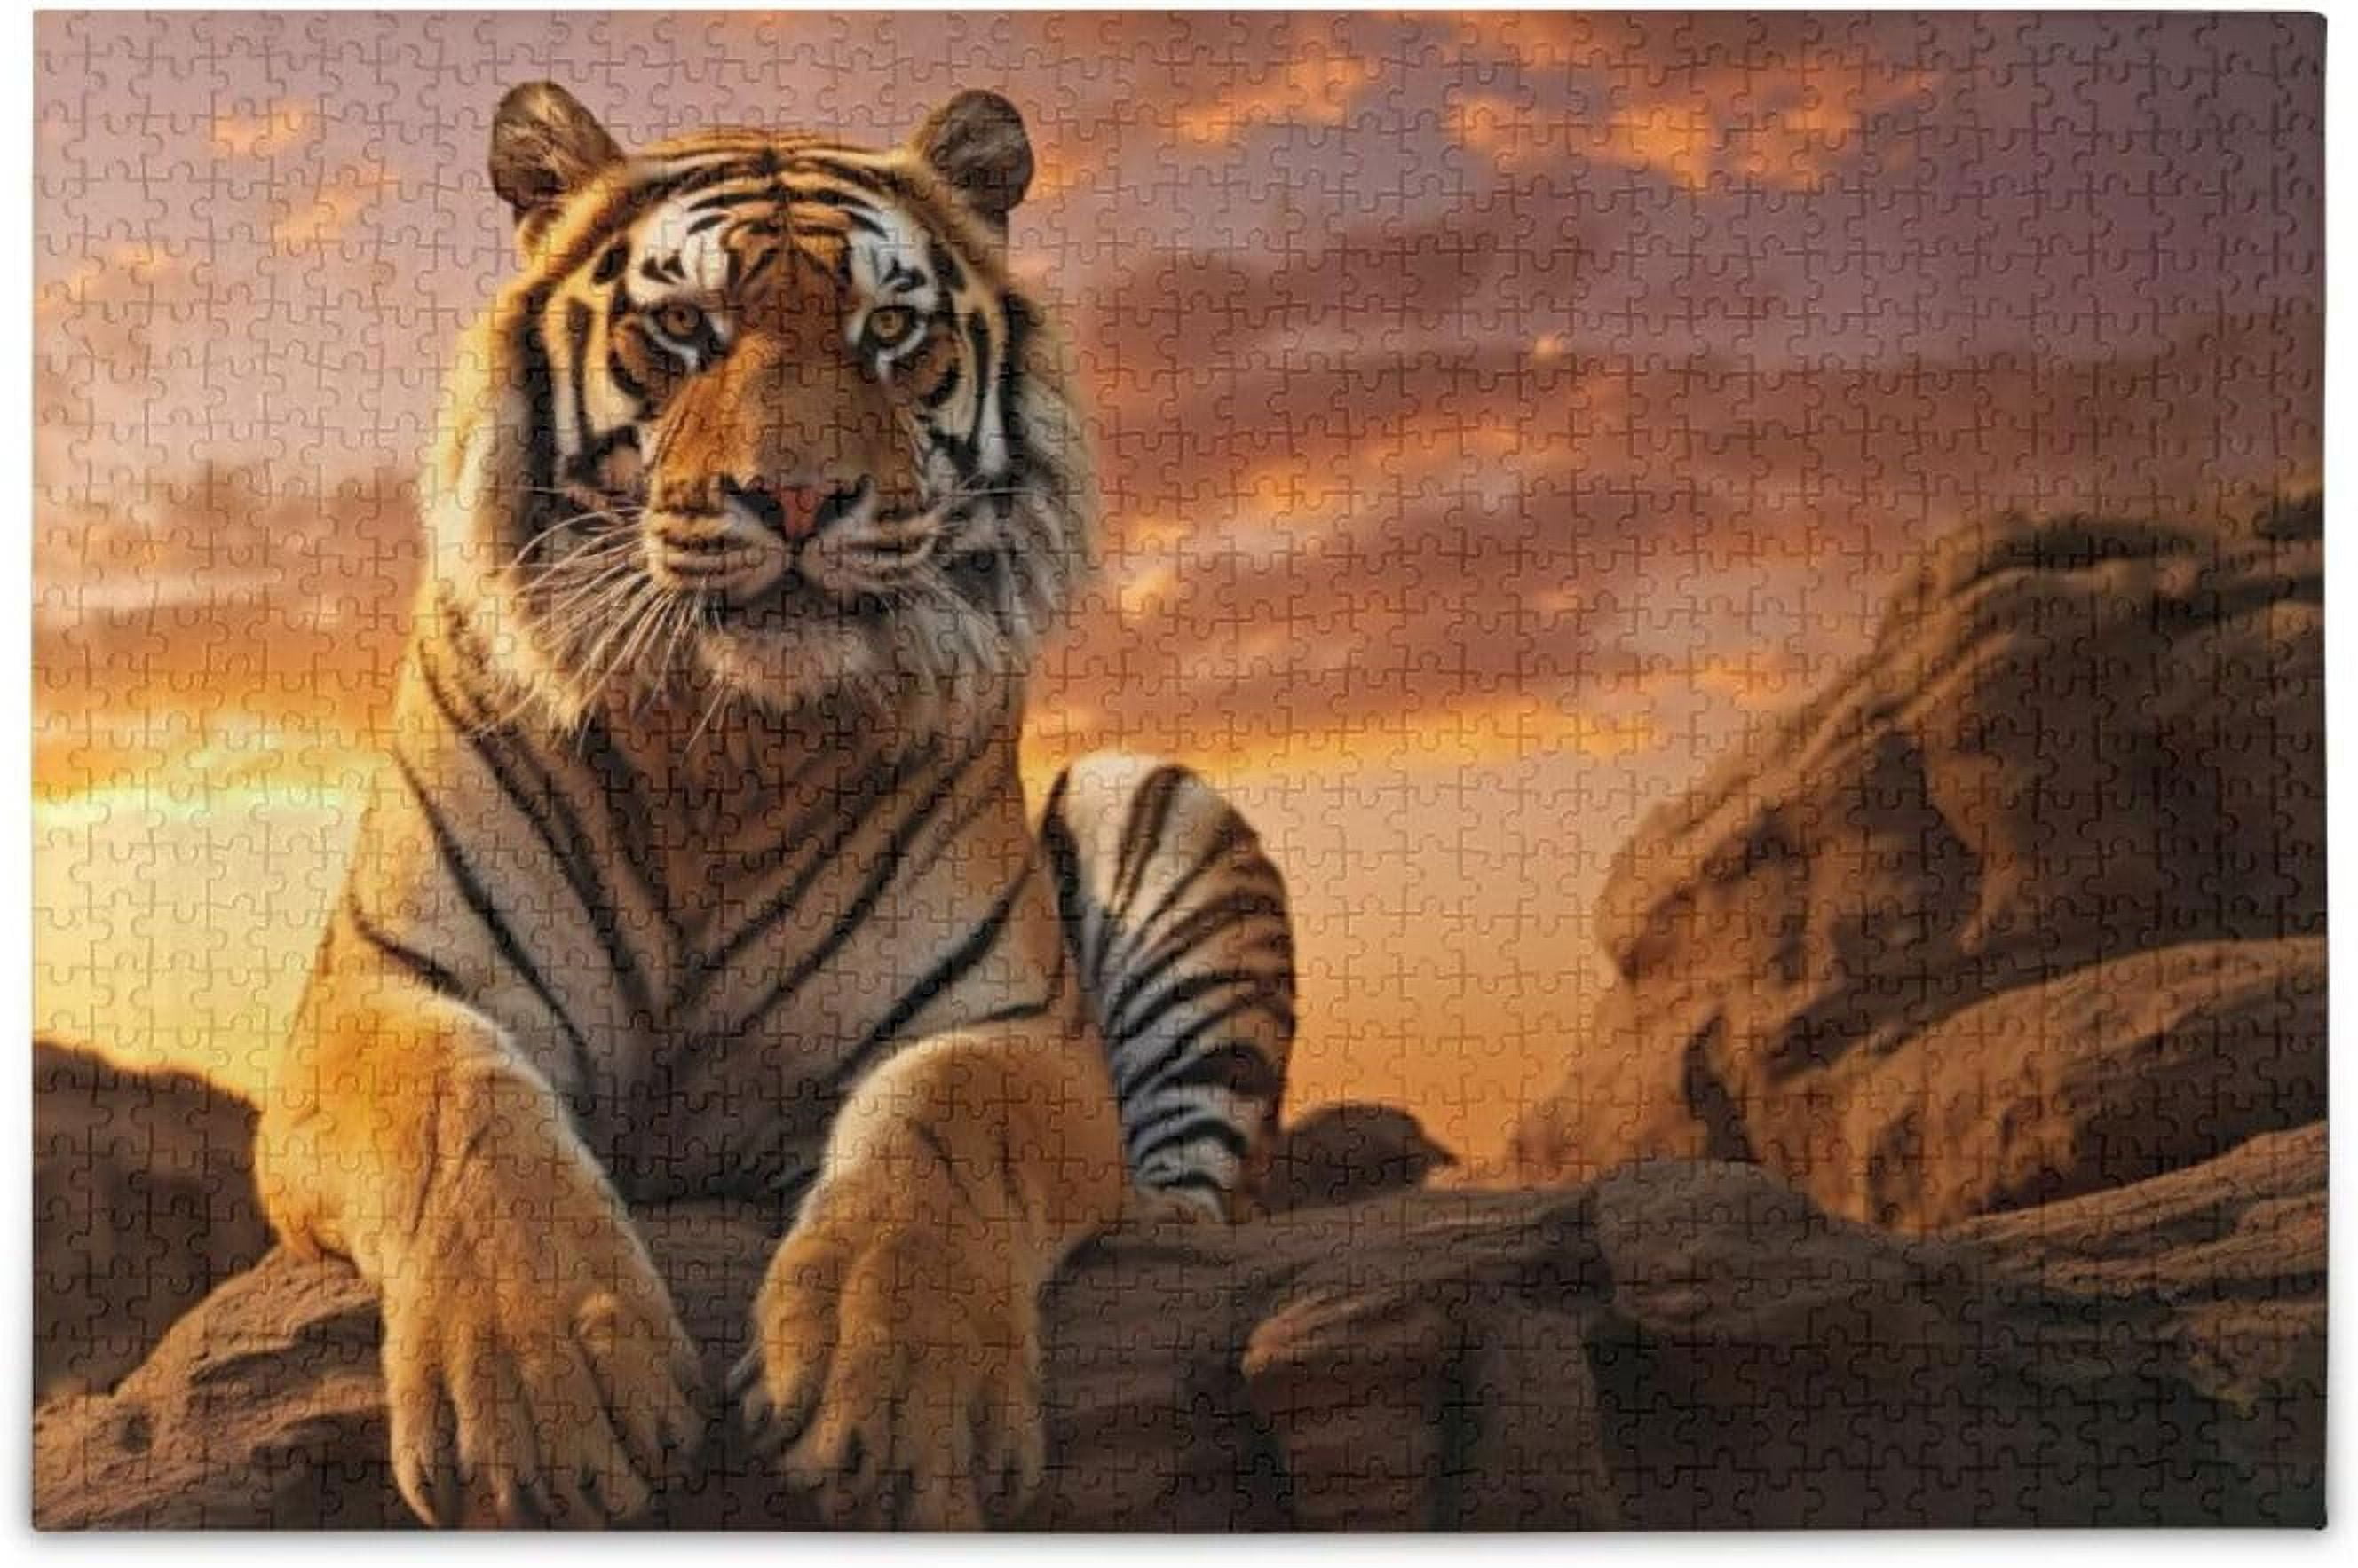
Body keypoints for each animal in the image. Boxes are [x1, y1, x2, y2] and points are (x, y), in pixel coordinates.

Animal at [254, 81, 1295, 1531]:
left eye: (890, 332)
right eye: (685, 327)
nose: (798, 497)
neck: (725, 745)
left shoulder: (1012, 1027)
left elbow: (940, 1130)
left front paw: (897, 1402)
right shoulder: (376, 995)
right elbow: (464, 1122)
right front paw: (545, 1398)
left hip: (1159, 793)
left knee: (1192, 1174)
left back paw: (1153, 1224)